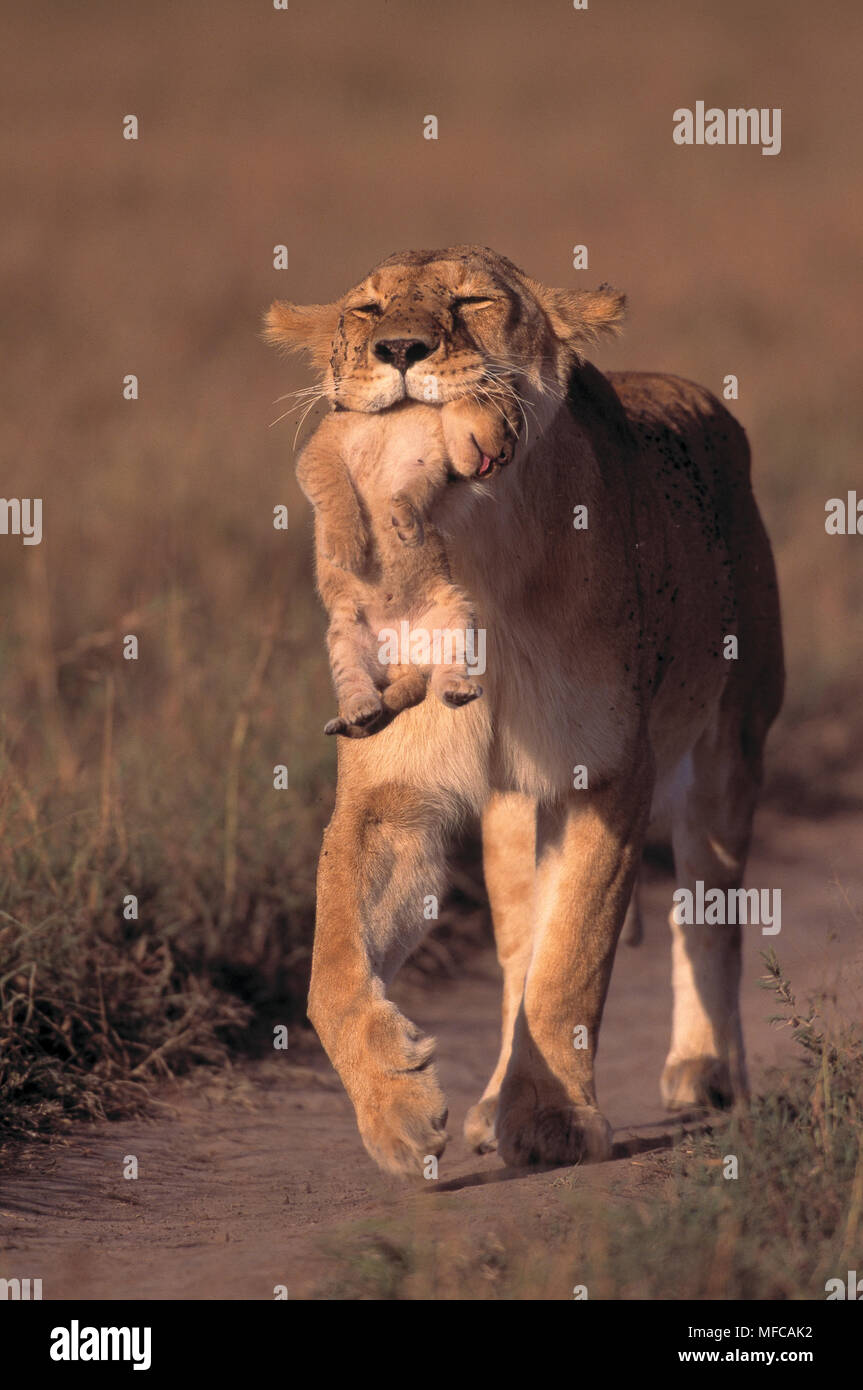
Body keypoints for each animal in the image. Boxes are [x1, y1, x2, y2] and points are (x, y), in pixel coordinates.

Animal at [294, 396, 518, 737]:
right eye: (506, 423)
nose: (506, 457)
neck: (394, 416)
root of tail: (401, 659)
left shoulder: (428, 460)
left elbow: (413, 489)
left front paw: (406, 524)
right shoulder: (321, 449)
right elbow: (333, 489)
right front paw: (347, 549)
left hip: (455, 616)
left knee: (444, 672)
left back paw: (457, 690)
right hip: (346, 637)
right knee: (354, 683)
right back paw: (359, 710)